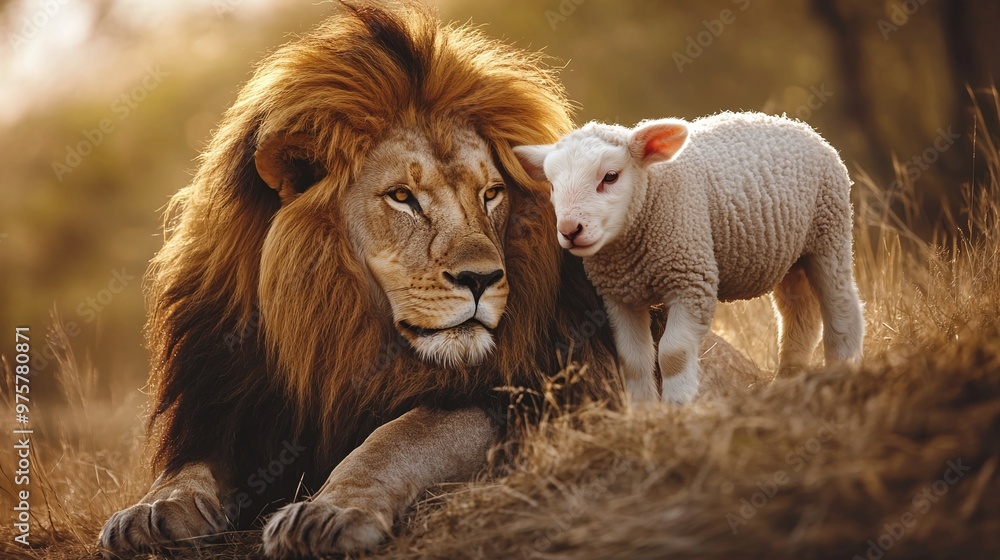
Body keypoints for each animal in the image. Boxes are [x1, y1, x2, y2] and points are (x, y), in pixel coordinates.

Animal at [97, 2, 622, 557]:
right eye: (402, 197)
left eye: (492, 193)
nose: (483, 279)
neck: (339, 330)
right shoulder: (235, 403)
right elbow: (190, 467)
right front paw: (151, 511)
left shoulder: (516, 397)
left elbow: (398, 438)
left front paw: (327, 512)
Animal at [513, 111, 864, 404]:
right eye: (552, 186)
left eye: (610, 177)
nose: (570, 230)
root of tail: (795, 123)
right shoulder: (619, 298)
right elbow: (634, 360)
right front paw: (644, 414)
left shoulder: (691, 281)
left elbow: (673, 353)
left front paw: (677, 408)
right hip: (790, 255)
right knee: (800, 314)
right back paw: (787, 380)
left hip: (829, 230)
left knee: (843, 307)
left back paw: (842, 370)